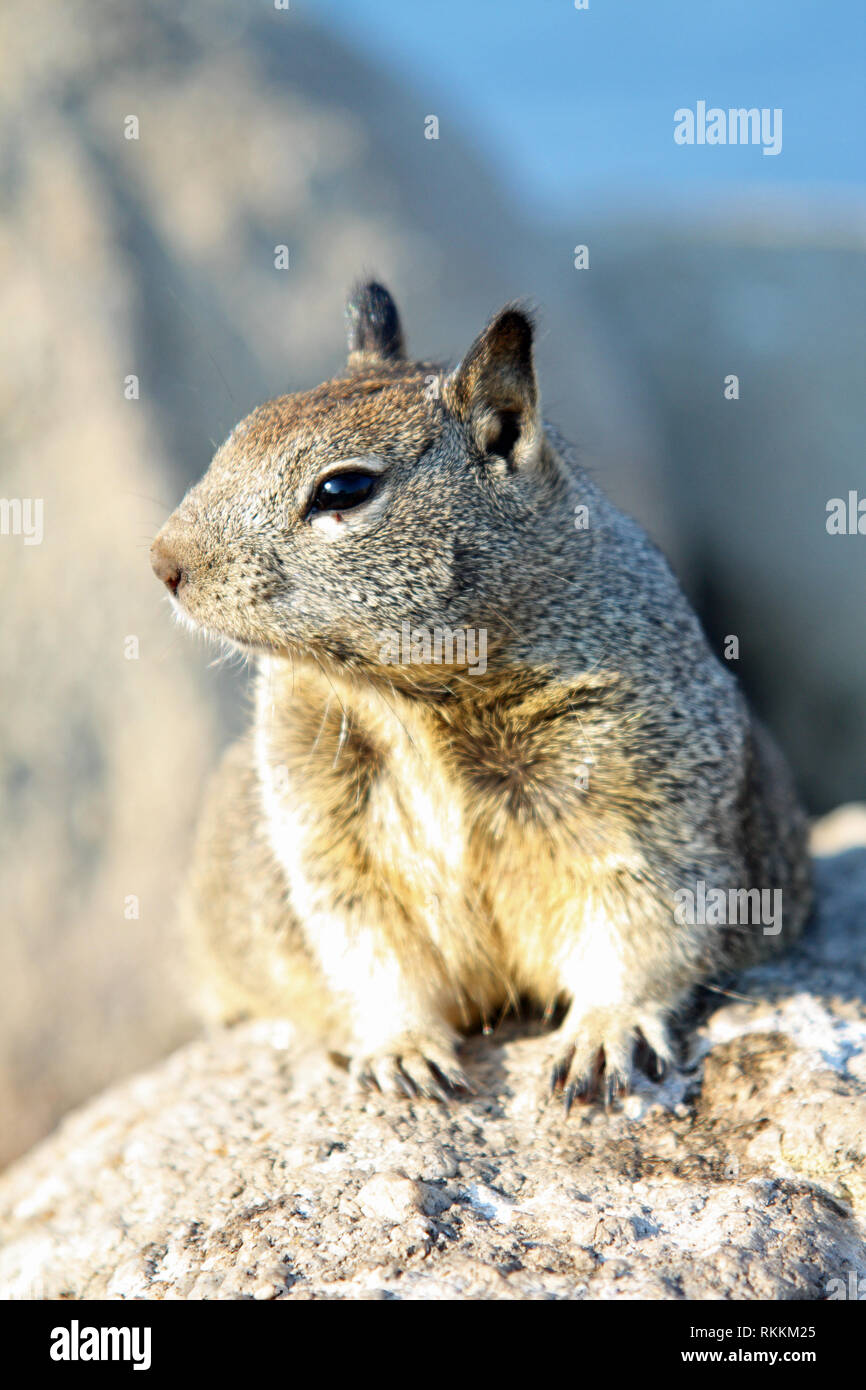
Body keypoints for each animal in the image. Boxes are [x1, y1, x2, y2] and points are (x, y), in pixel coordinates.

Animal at [151, 281, 812, 1107]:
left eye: (343, 488)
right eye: (236, 436)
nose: (162, 561)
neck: (409, 699)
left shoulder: (646, 794)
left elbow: (641, 928)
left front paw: (604, 1031)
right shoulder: (323, 830)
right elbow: (370, 951)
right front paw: (401, 1049)